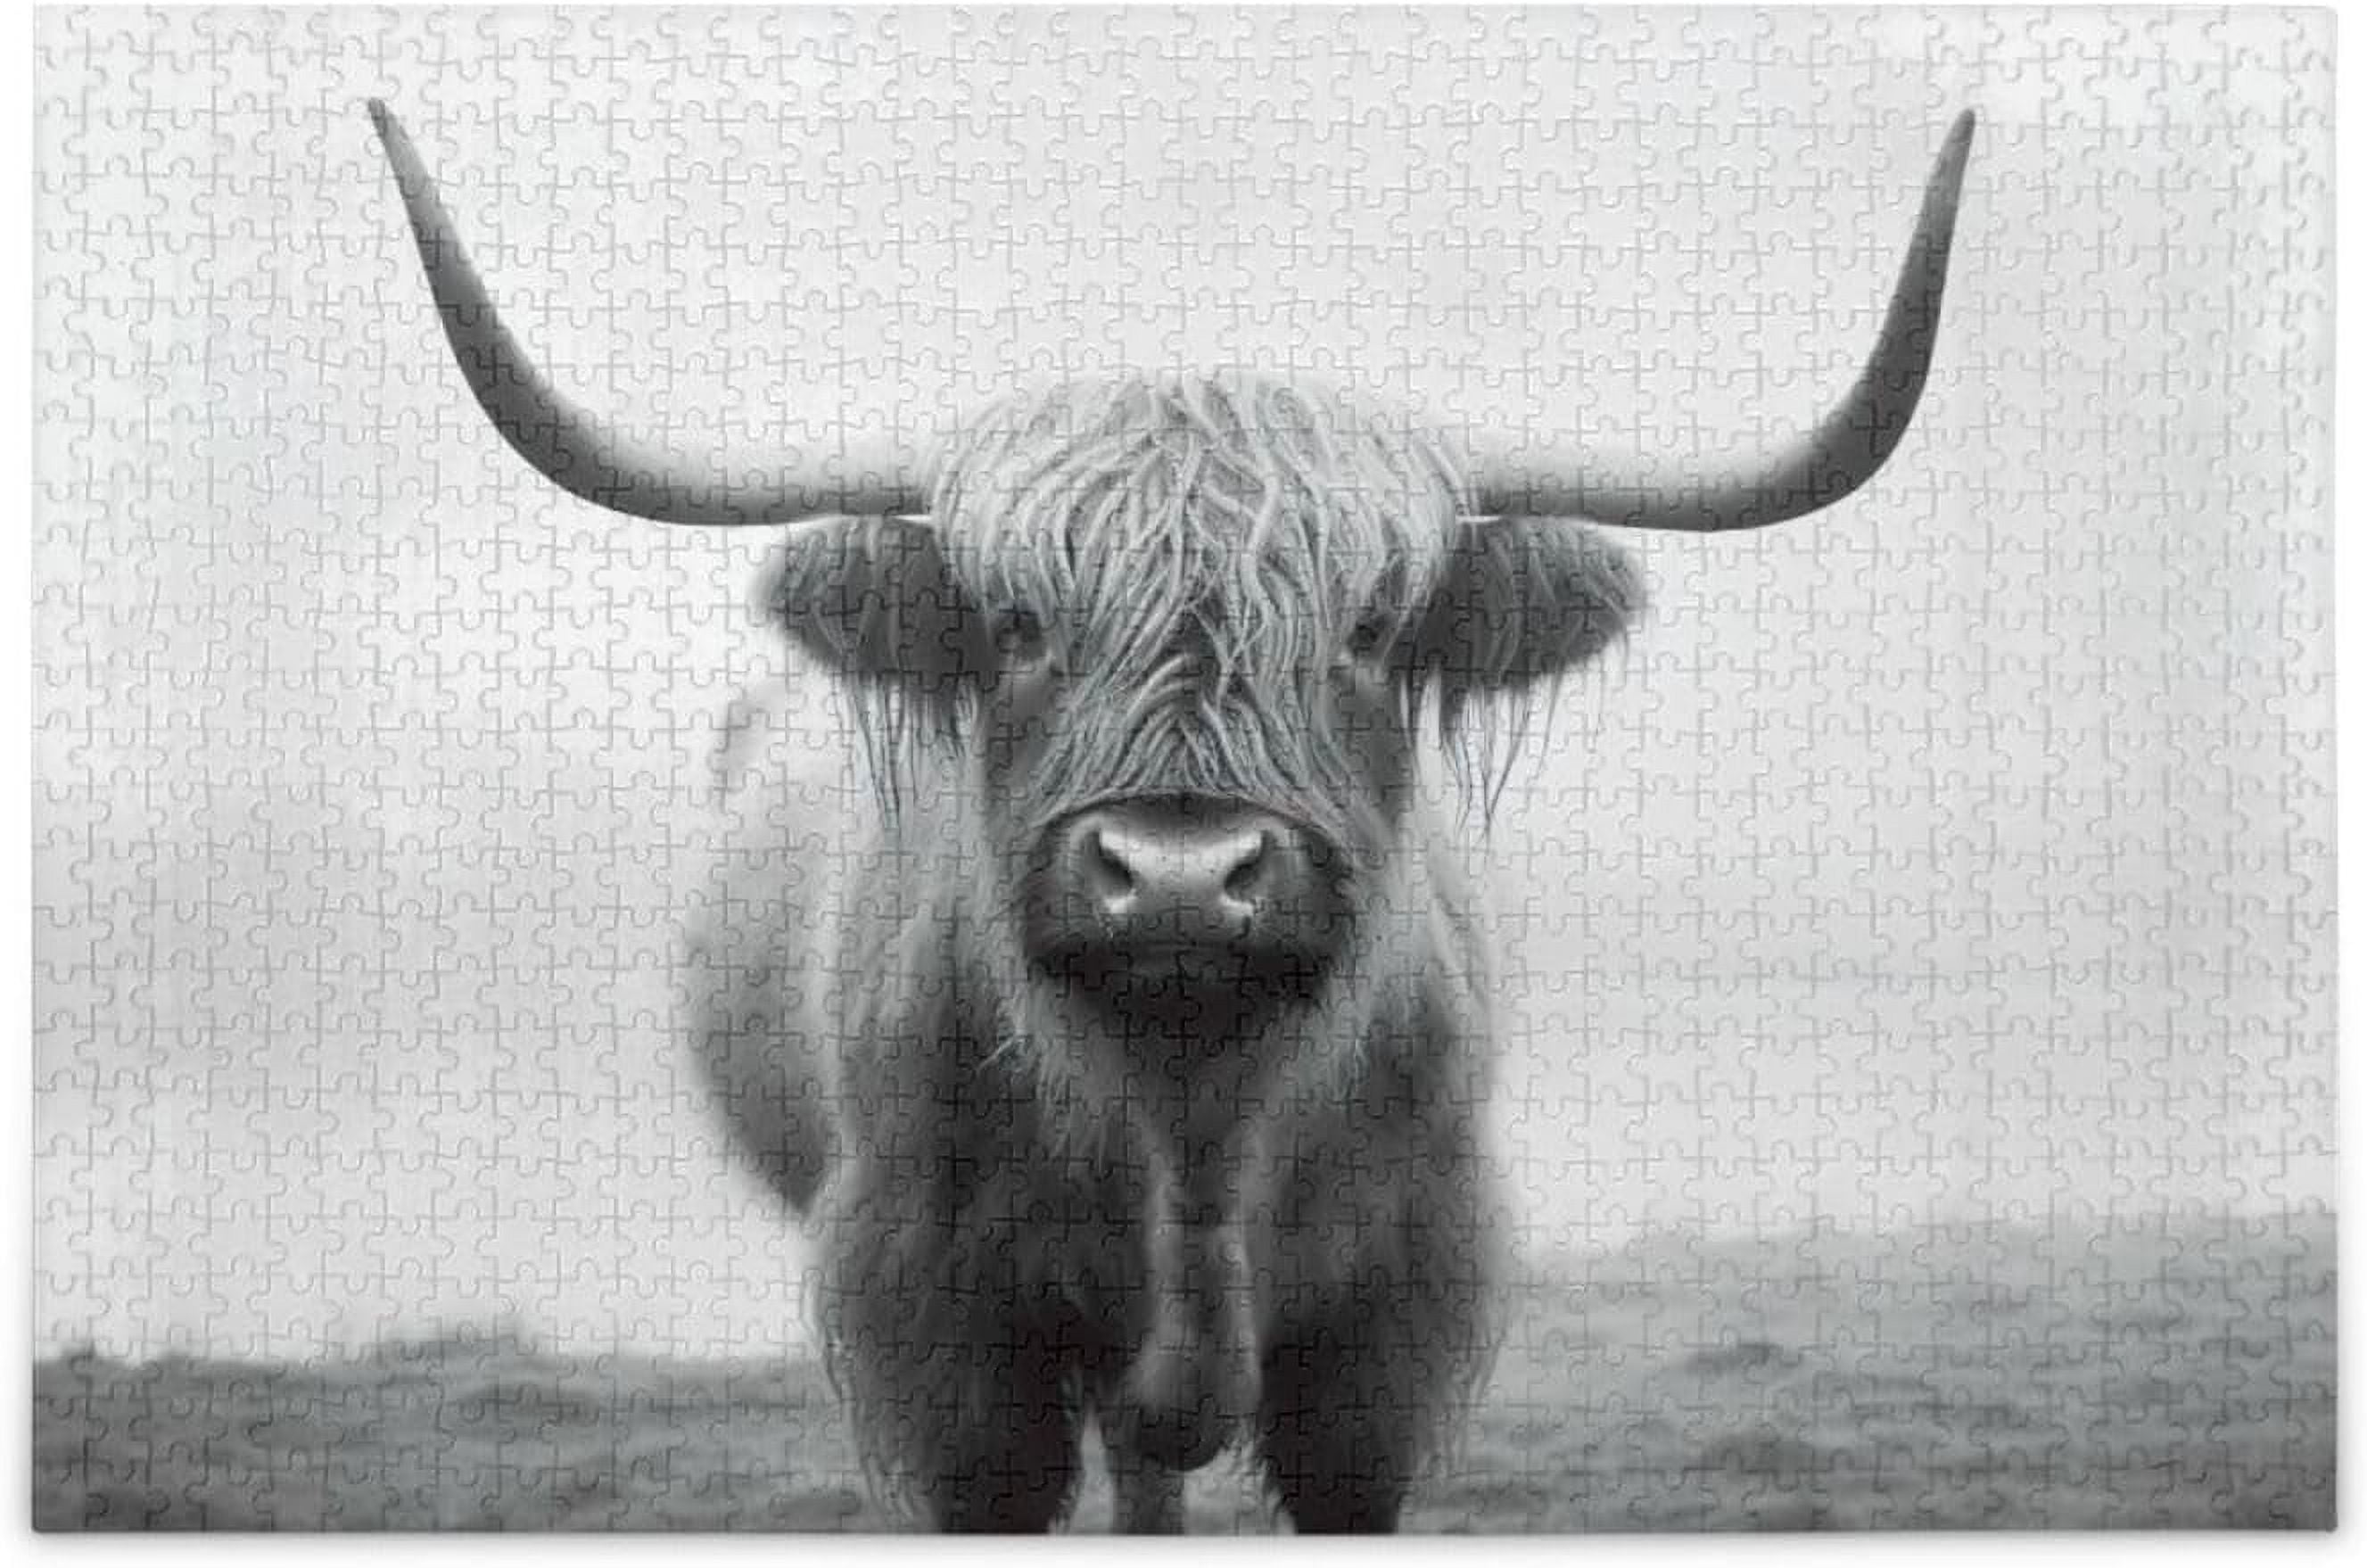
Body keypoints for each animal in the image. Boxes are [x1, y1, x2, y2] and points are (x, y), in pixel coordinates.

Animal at [369, 102, 1974, 1532]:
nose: (1184, 879)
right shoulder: (939, 1325)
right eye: (1018, 624)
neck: (1192, 1122)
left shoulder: (1395, 1322)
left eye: (1368, 627)